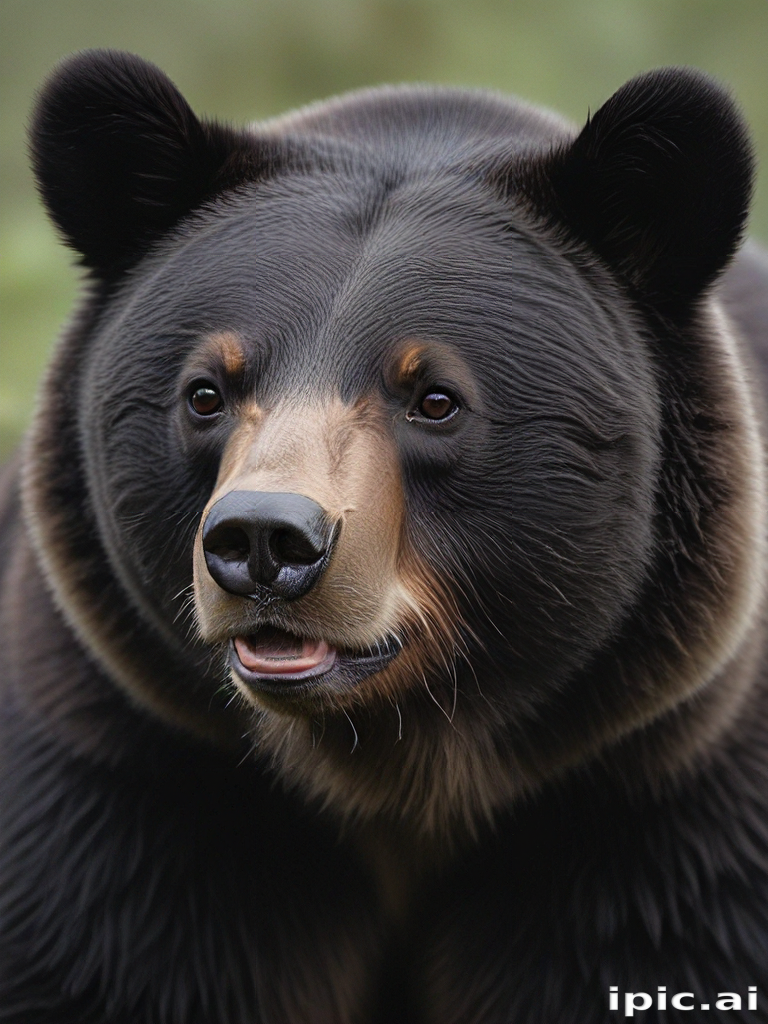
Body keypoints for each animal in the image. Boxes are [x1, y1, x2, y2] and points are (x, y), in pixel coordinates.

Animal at [1, 46, 767, 1023]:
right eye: (206, 390)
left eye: (434, 398)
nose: (265, 541)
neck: (395, 770)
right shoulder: (137, 778)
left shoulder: (657, 802)